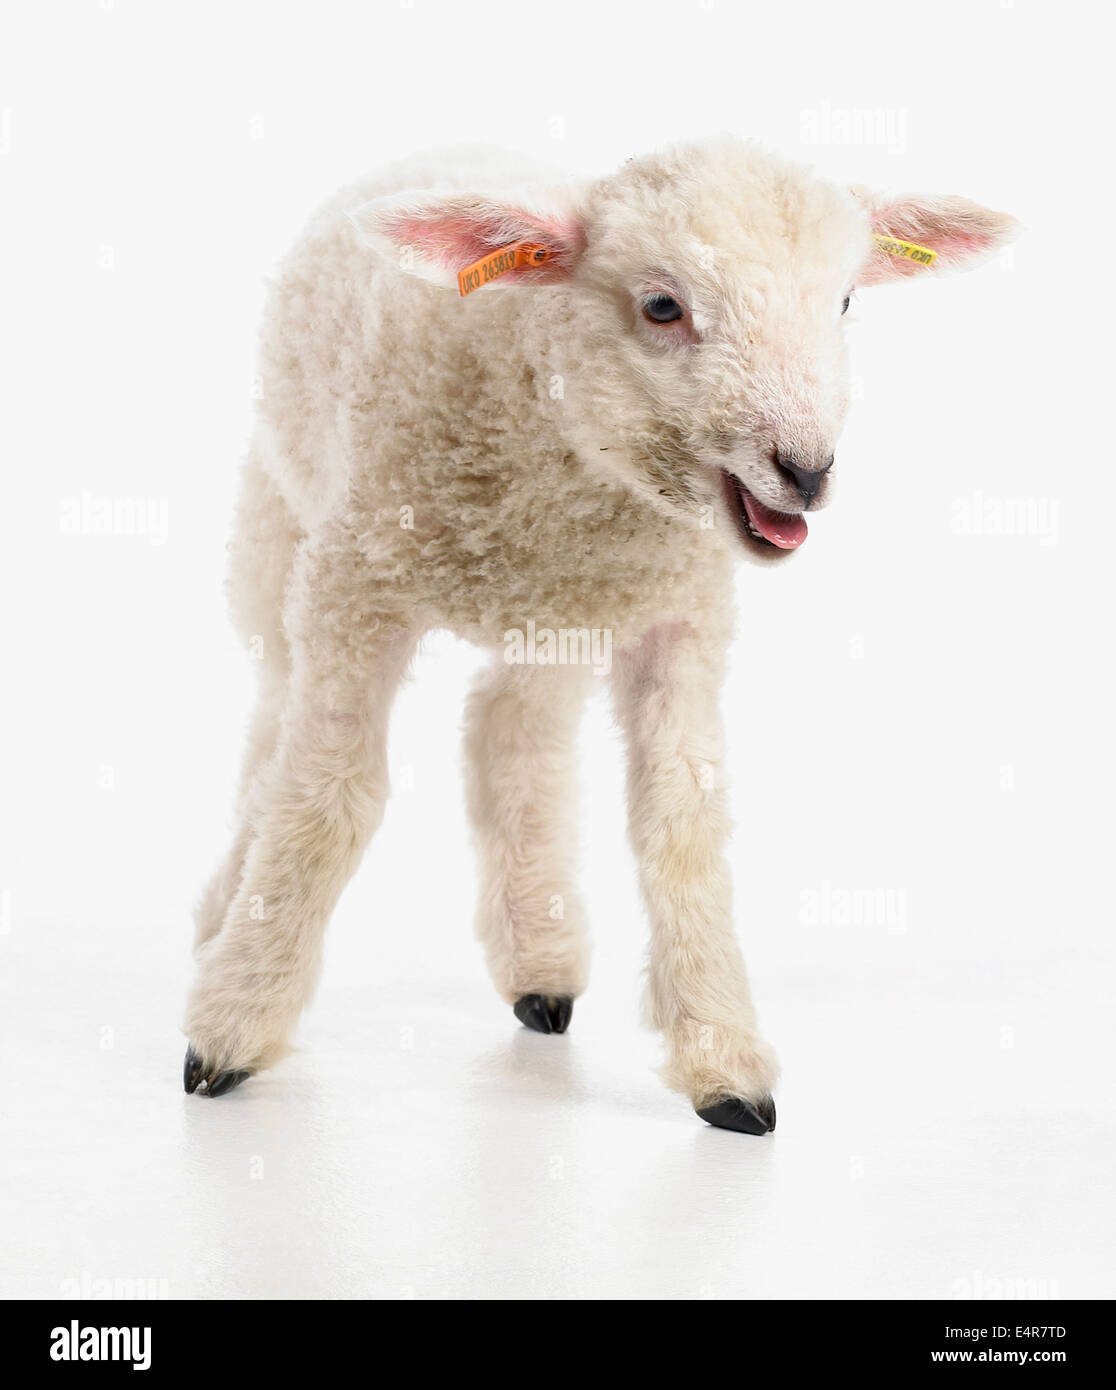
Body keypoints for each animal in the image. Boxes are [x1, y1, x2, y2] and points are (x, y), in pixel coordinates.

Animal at [183, 137, 1018, 1131]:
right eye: (662, 306)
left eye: (845, 301)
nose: (807, 472)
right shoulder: (354, 590)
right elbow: (324, 798)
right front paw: (237, 1017)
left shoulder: (679, 616)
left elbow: (681, 818)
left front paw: (723, 1055)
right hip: (279, 521)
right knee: (275, 711)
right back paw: (223, 908)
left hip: (563, 618)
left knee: (509, 734)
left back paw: (538, 964)